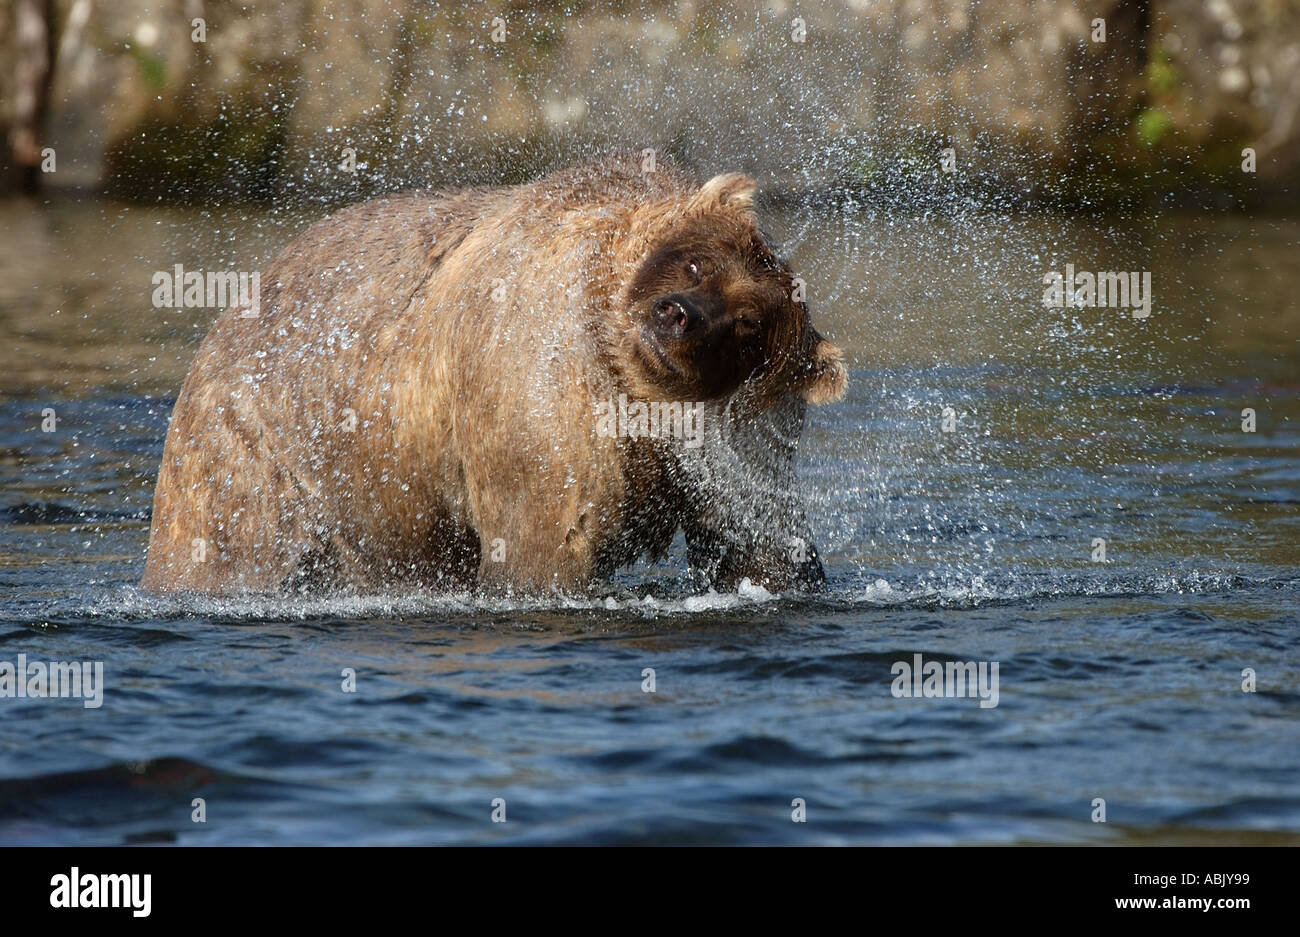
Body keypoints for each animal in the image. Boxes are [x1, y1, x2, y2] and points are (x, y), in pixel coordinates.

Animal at [139, 155, 847, 596]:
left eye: (749, 321)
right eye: (698, 263)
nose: (677, 315)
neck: (637, 394)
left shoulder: (731, 445)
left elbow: (757, 536)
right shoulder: (539, 374)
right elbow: (546, 533)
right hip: (262, 442)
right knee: (226, 545)